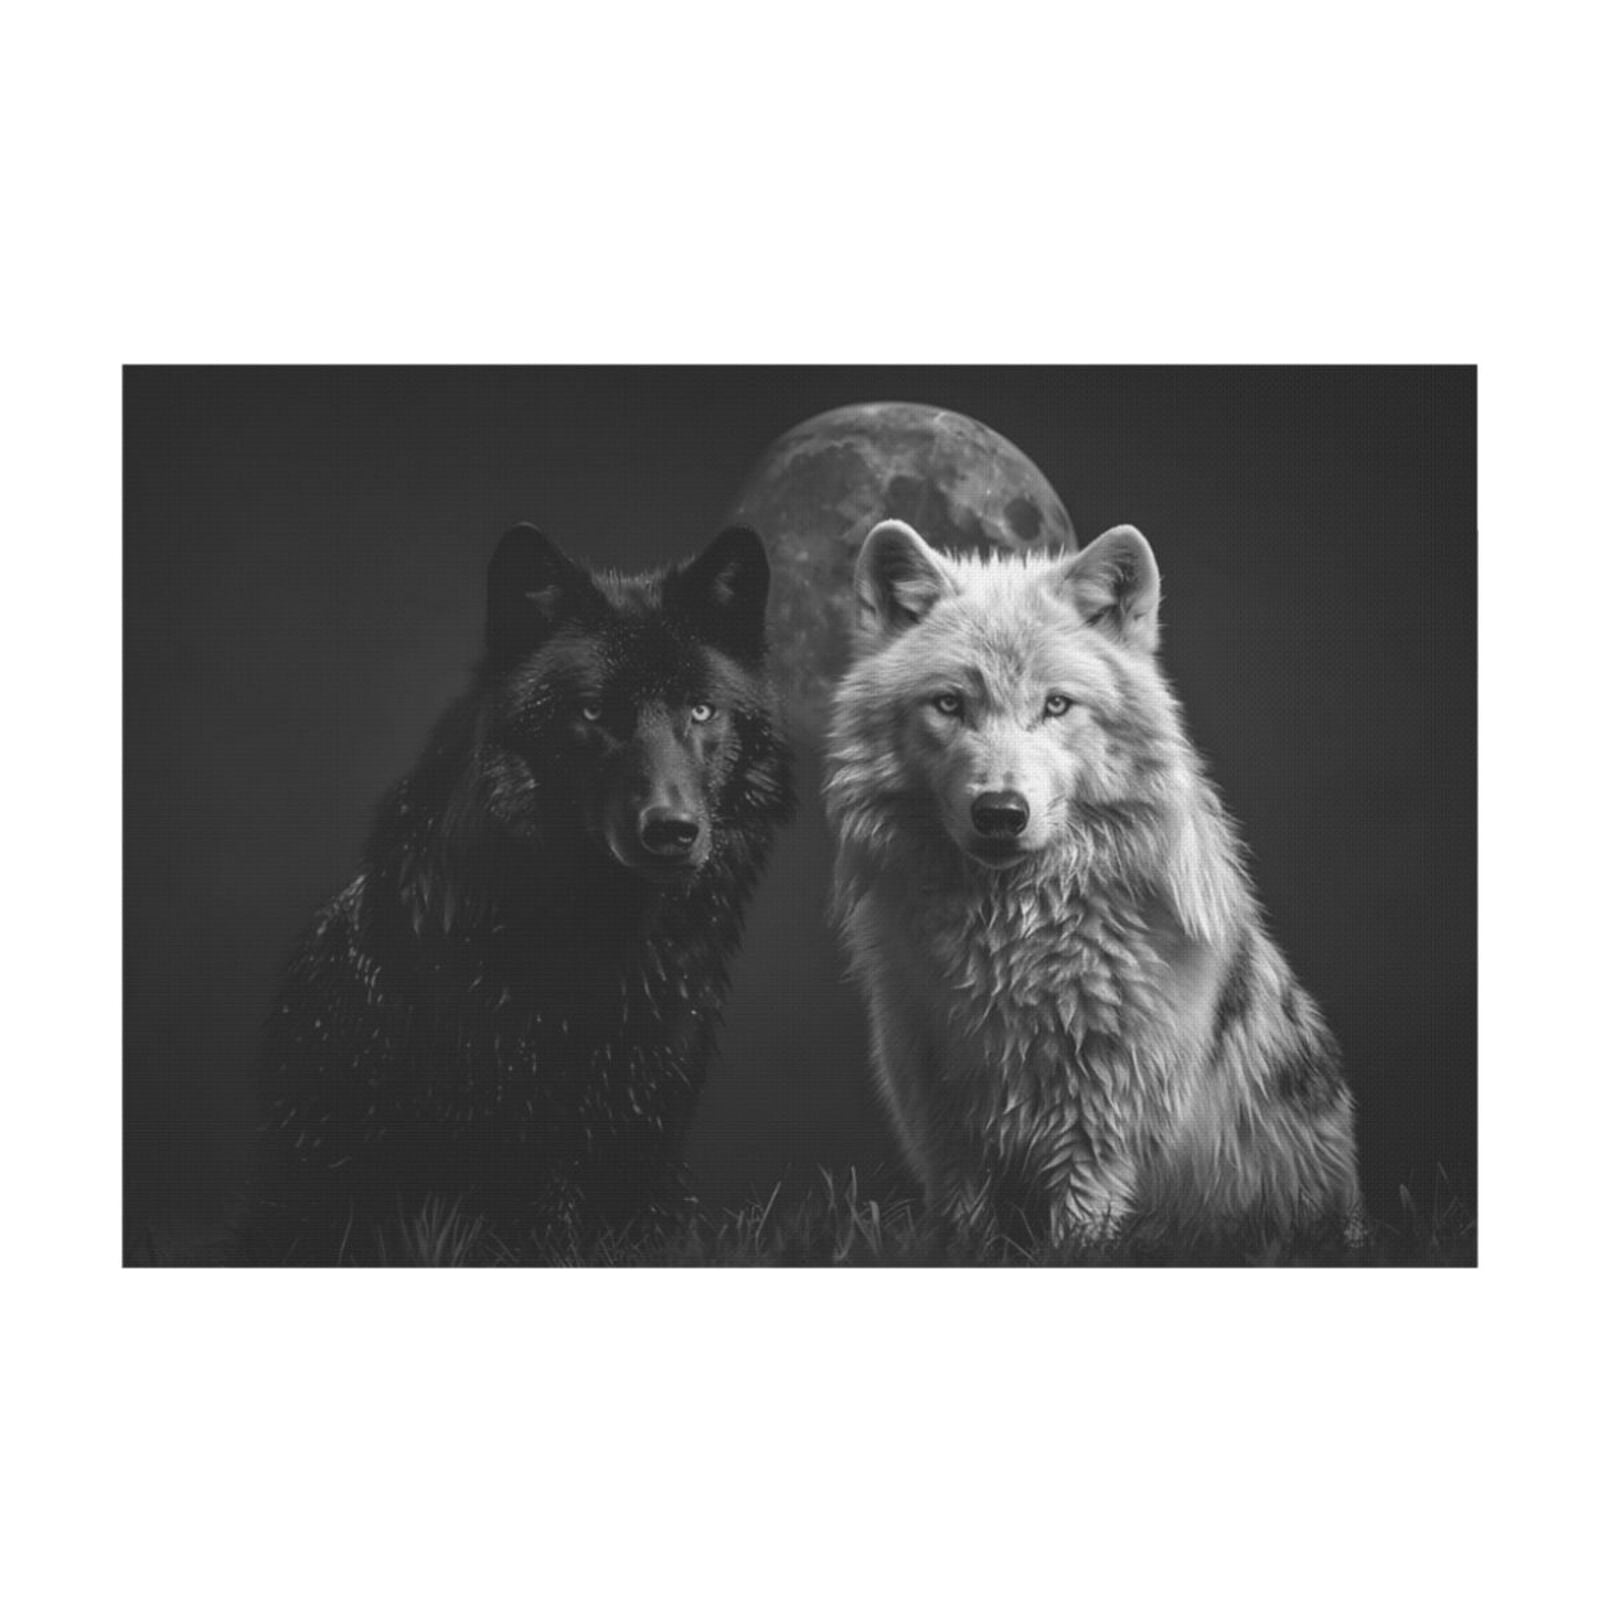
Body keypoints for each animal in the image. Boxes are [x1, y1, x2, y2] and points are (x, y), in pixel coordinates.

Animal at [250, 523, 794, 1258]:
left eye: (702, 711)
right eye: (593, 712)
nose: (672, 831)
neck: (605, 944)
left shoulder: (653, 1119)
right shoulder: (513, 1130)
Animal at [824, 518, 1362, 1247]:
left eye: (1056, 706)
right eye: (949, 704)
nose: (1001, 813)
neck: (1013, 947)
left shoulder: (1103, 1124)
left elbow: (1078, 1234)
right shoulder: (943, 1118)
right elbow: (966, 1231)